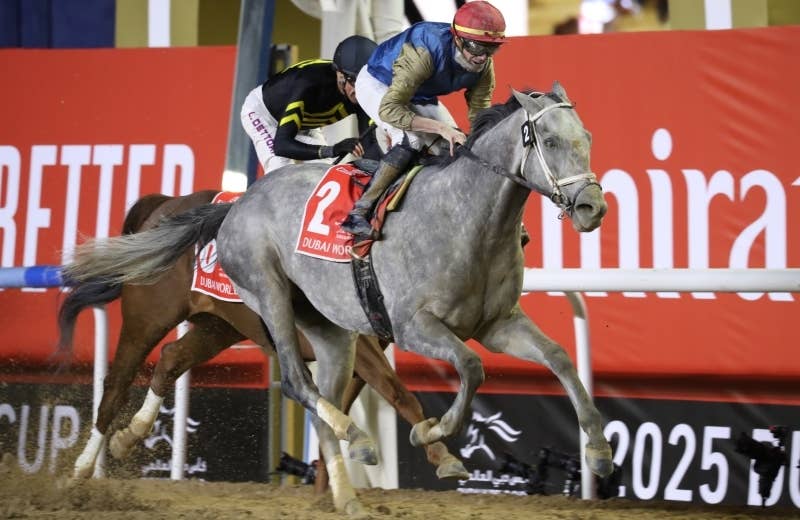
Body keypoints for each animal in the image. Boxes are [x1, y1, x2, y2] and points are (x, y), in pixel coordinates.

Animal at [58, 190, 467, 492]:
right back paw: (80, 469)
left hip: (220, 325)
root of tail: (165, 204)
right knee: (116, 385)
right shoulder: (358, 347)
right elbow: (400, 394)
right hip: (148, 317)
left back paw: (131, 435)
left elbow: (348, 402)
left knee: (172, 357)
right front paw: (443, 456)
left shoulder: (363, 351)